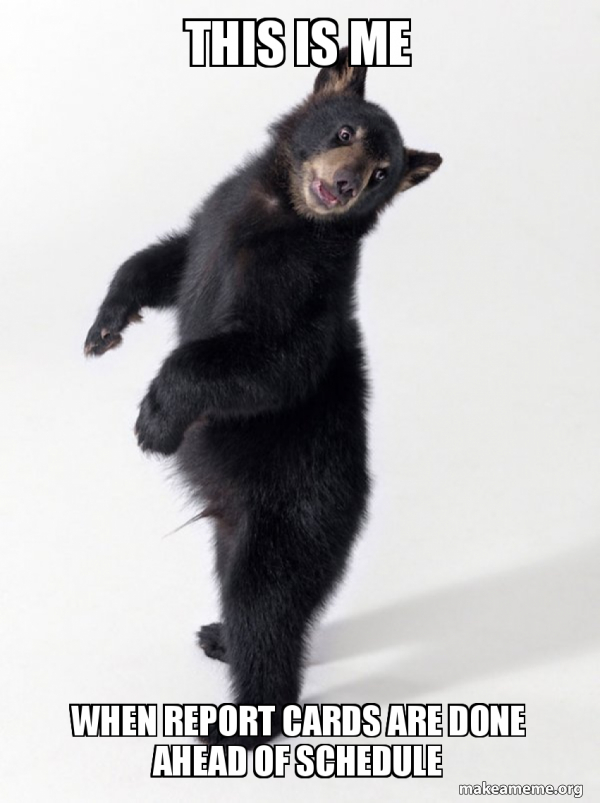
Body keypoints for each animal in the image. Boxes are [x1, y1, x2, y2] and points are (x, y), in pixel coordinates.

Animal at [84, 48, 441, 747]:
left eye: (384, 172)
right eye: (344, 132)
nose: (348, 183)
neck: (281, 211)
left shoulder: (299, 286)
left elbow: (269, 362)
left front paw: (154, 422)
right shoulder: (213, 219)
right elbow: (166, 259)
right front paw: (106, 323)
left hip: (287, 523)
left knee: (266, 612)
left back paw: (235, 725)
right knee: (269, 608)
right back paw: (219, 636)